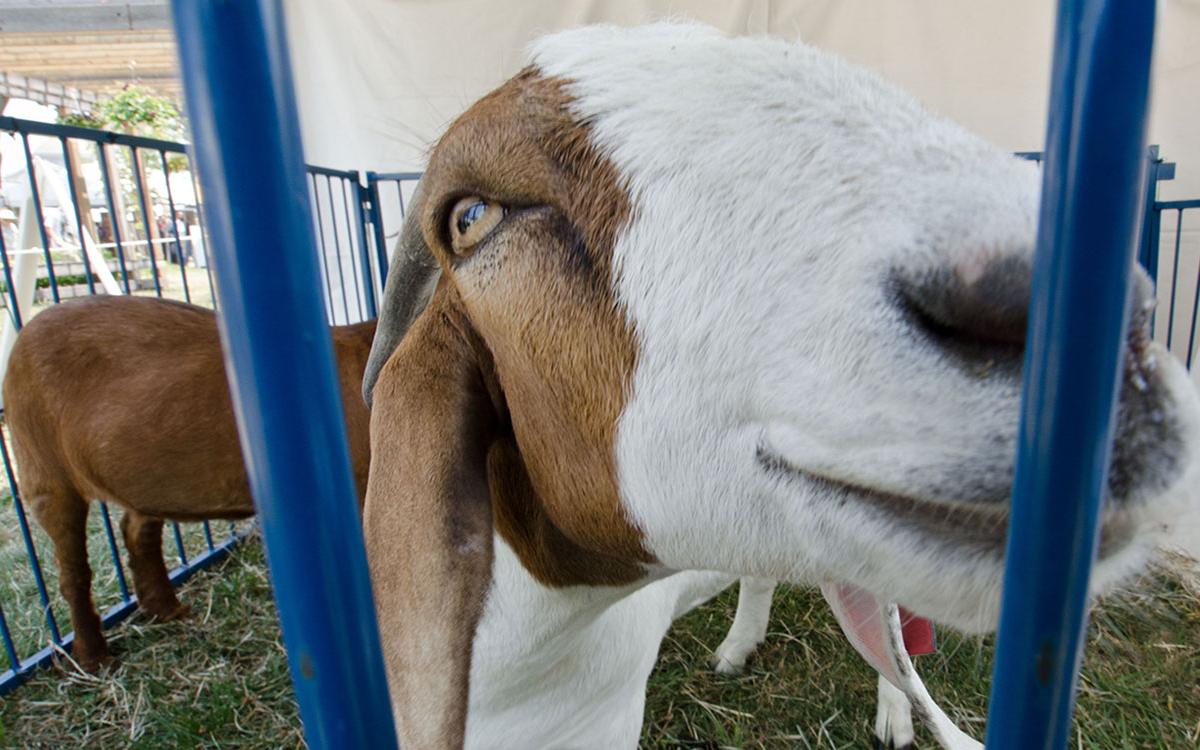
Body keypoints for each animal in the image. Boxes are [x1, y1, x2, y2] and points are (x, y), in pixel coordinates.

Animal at [2, 295, 375, 671]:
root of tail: (25, 334)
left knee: (136, 530)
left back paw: (164, 608)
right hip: (44, 469)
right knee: (72, 570)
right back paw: (94, 658)